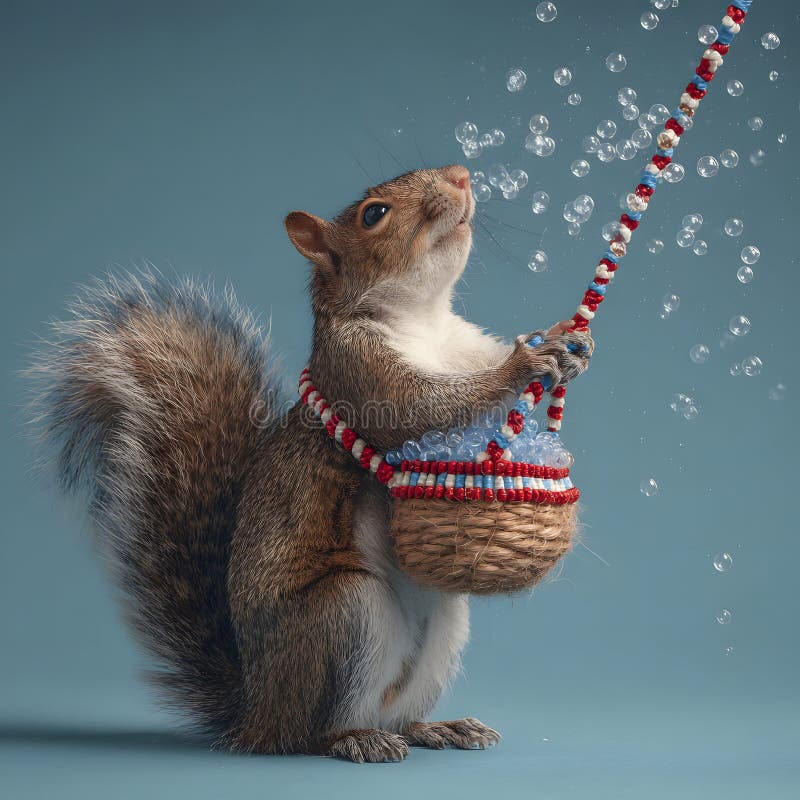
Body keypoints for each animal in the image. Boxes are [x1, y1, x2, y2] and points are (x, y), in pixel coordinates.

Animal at [32, 165, 593, 763]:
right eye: (374, 214)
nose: (461, 175)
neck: (424, 320)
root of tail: (258, 714)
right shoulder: (360, 372)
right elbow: (425, 411)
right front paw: (524, 363)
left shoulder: (465, 345)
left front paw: (566, 338)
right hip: (342, 614)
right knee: (313, 734)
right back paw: (355, 739)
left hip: (442, 629)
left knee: (399, 716)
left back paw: (438, 728)